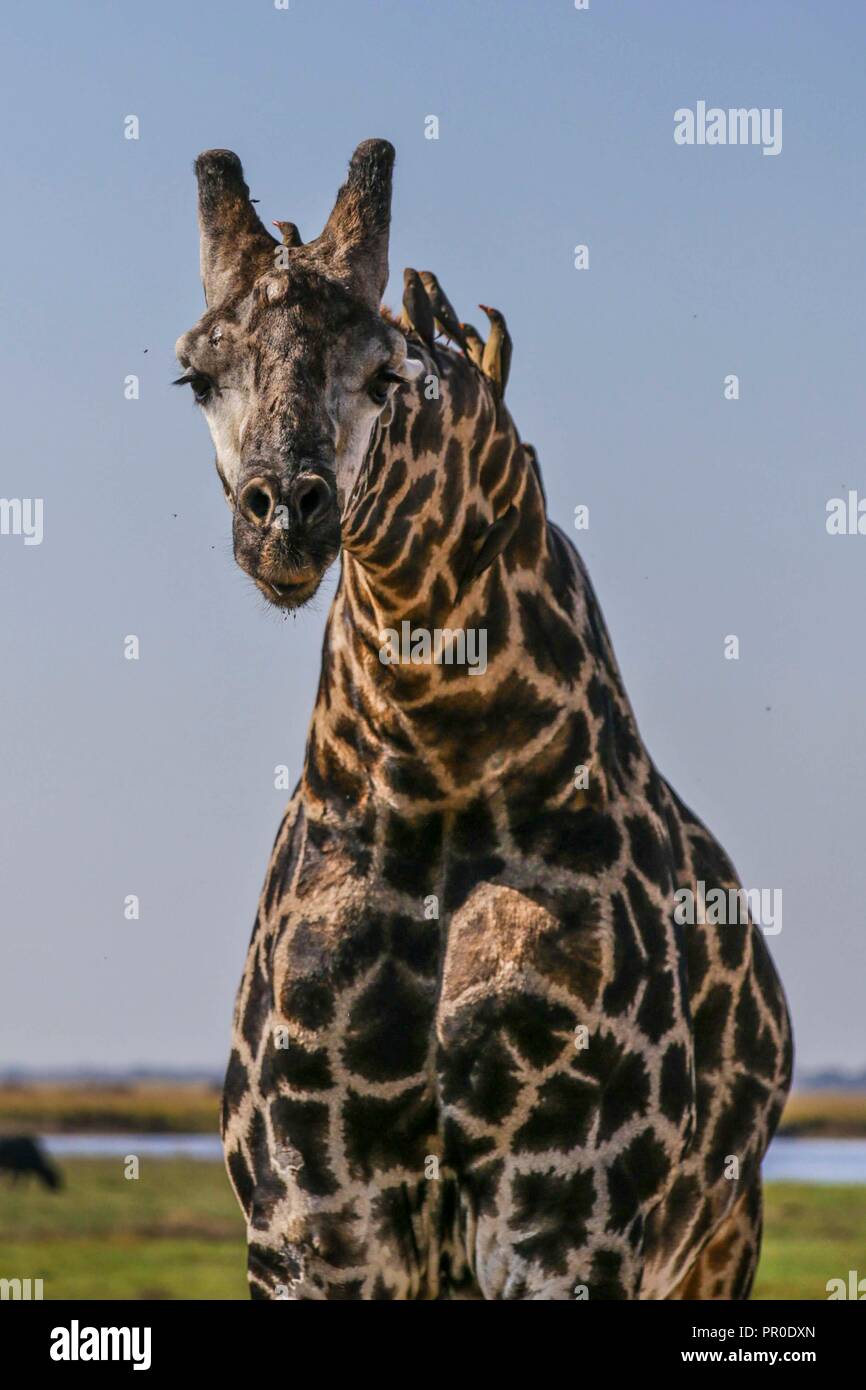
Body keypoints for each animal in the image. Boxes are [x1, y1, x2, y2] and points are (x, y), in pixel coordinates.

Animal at [174, 140, 793, 1300]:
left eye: (389, 374)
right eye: (197, 373)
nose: (284, 517)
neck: (436, 778)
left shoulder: (566, 1216)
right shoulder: (310, 1225)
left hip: (719, 1244)